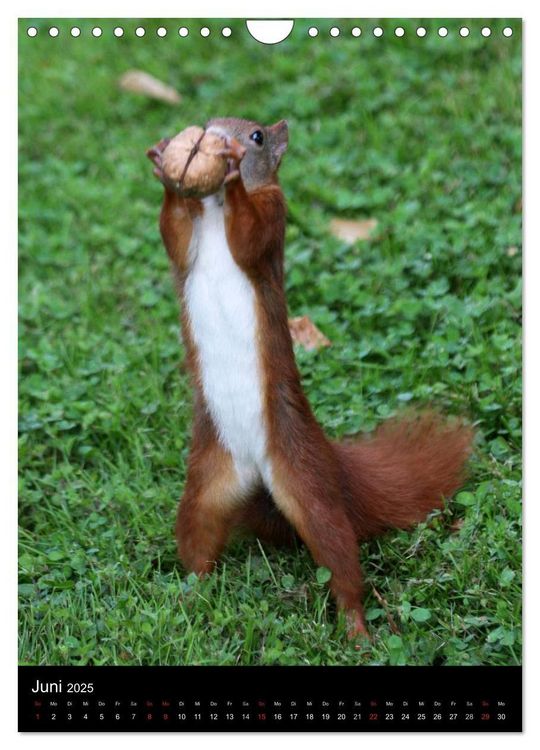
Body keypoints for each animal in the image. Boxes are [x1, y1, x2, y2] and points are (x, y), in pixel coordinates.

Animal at [147, 117, 473, 638]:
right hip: (206, 486)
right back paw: (189, 597)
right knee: (197, 544)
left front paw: (232, 175)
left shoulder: (274, 214)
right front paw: (165, 166)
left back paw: (356, 630)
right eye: (210, 123)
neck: (213, 210)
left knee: (339, 557)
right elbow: (174, 234)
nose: (219, 138)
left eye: (258, 136)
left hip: (307, 484)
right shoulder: (188, 241)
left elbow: (251, 235)